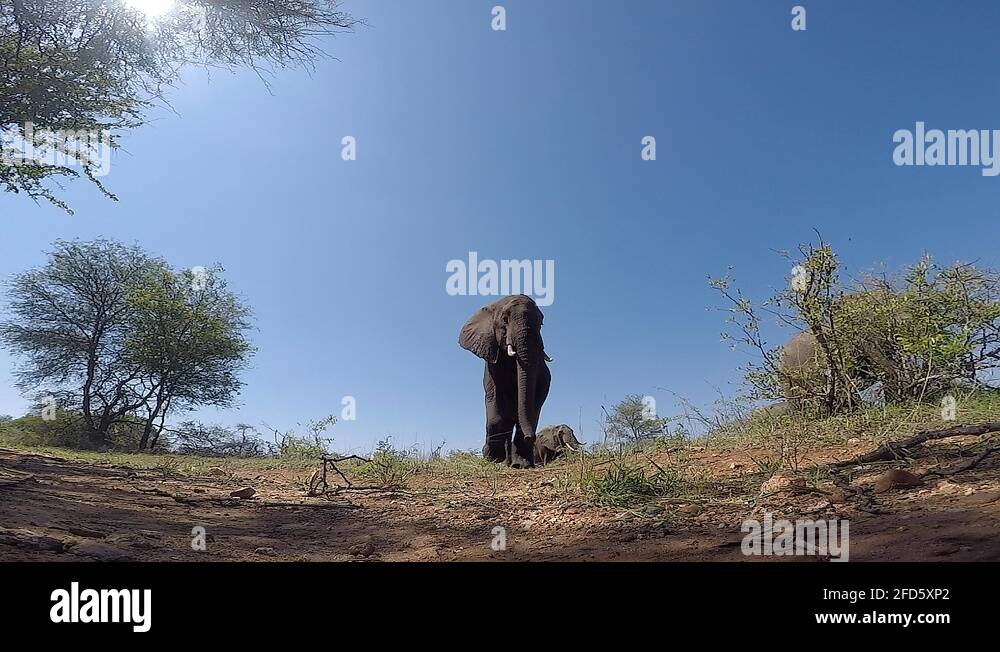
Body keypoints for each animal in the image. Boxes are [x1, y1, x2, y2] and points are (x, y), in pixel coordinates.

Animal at [459, 294, 551, 468]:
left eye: (541, 323)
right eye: (505, 319)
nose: (531, 437)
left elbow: (539, 393)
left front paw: (520, 463)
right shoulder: (492, 361)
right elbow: (495, 397)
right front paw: (492, 458)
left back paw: (519, 463)